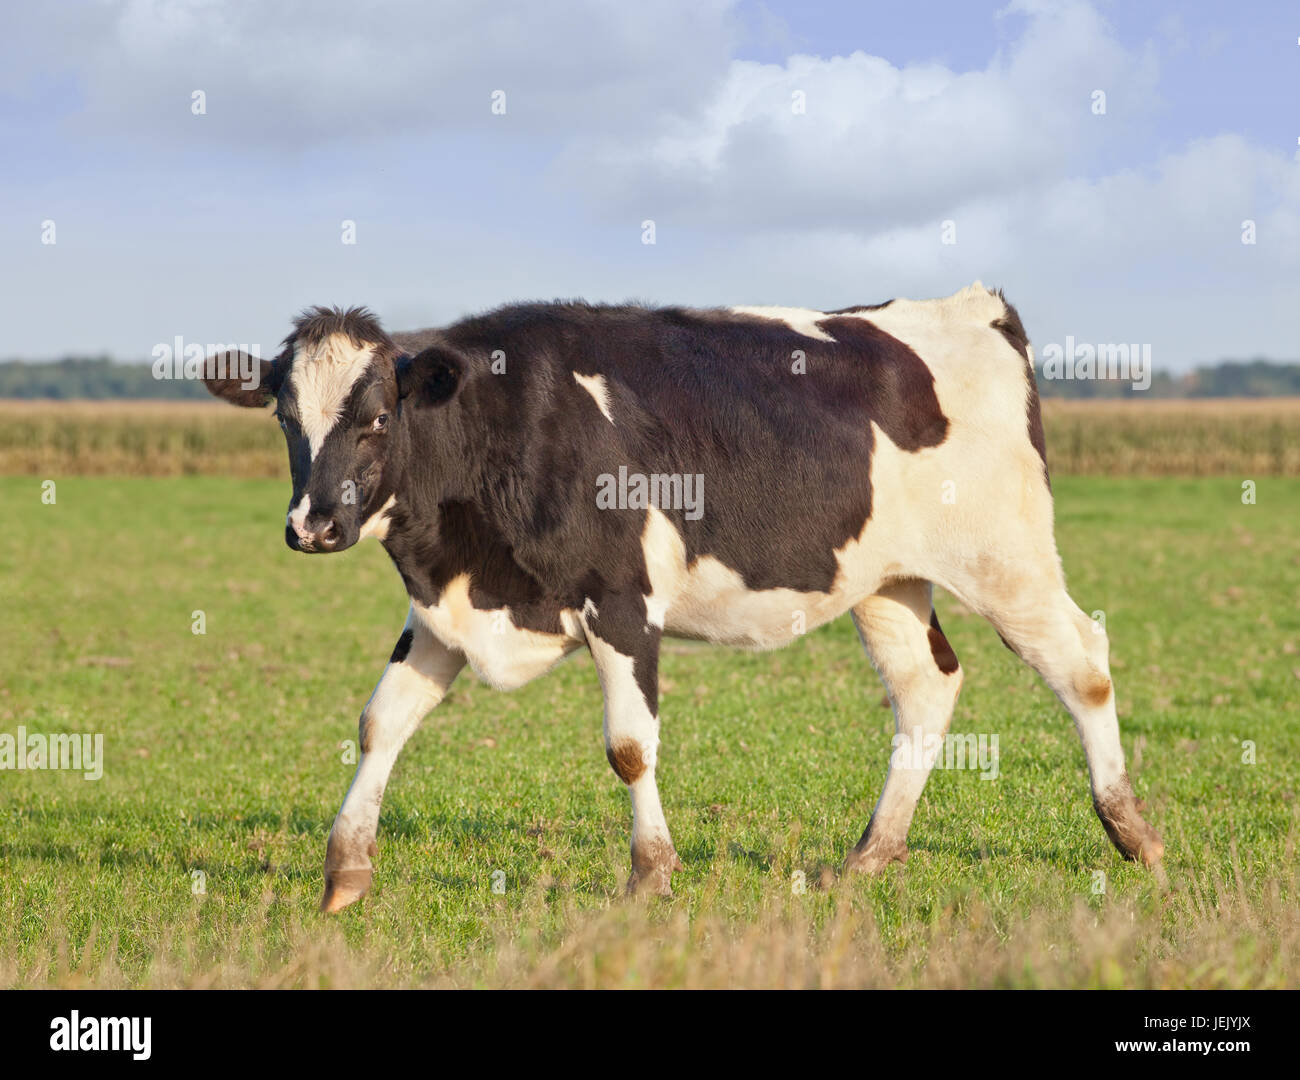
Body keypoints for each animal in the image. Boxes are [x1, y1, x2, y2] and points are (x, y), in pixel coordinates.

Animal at [202, 283, 1163, 912]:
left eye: (376, 418)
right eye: (286, 417)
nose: (314, 525)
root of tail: (964, 306)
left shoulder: (622, 603)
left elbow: (630, 747)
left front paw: (651, 873)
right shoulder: (446, 612)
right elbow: (380, 723)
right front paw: (344, 871)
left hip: (1008, 559)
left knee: (1083, 666)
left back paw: (1132, 833)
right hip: (887, 581)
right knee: (926, 688)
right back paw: (870, 857)